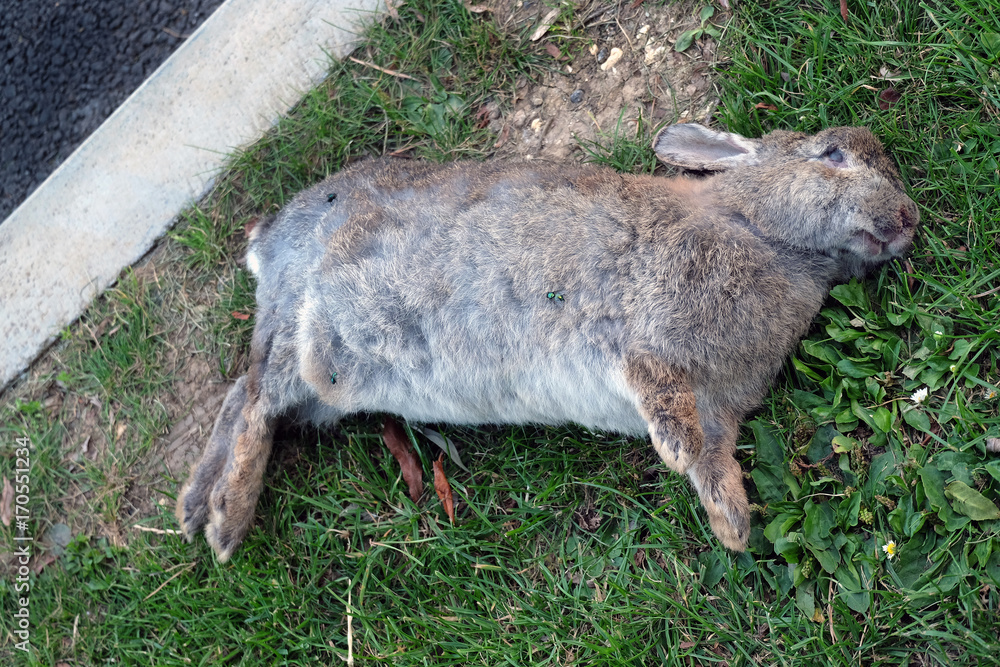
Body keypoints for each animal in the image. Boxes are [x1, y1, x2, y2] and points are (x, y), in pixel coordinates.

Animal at [176, 122, 919, 562]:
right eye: (832, 156)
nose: (909, 217)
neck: (759, 231)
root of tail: (267, 242)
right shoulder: (650, 341)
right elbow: (664, 400)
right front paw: (681, 460)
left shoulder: (722, 406)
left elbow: (714, 458)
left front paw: (731, 525)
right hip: (309, 329)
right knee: (255, 399)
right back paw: (224, 523)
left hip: (317, 380)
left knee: (243, 395)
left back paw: (192, 509)